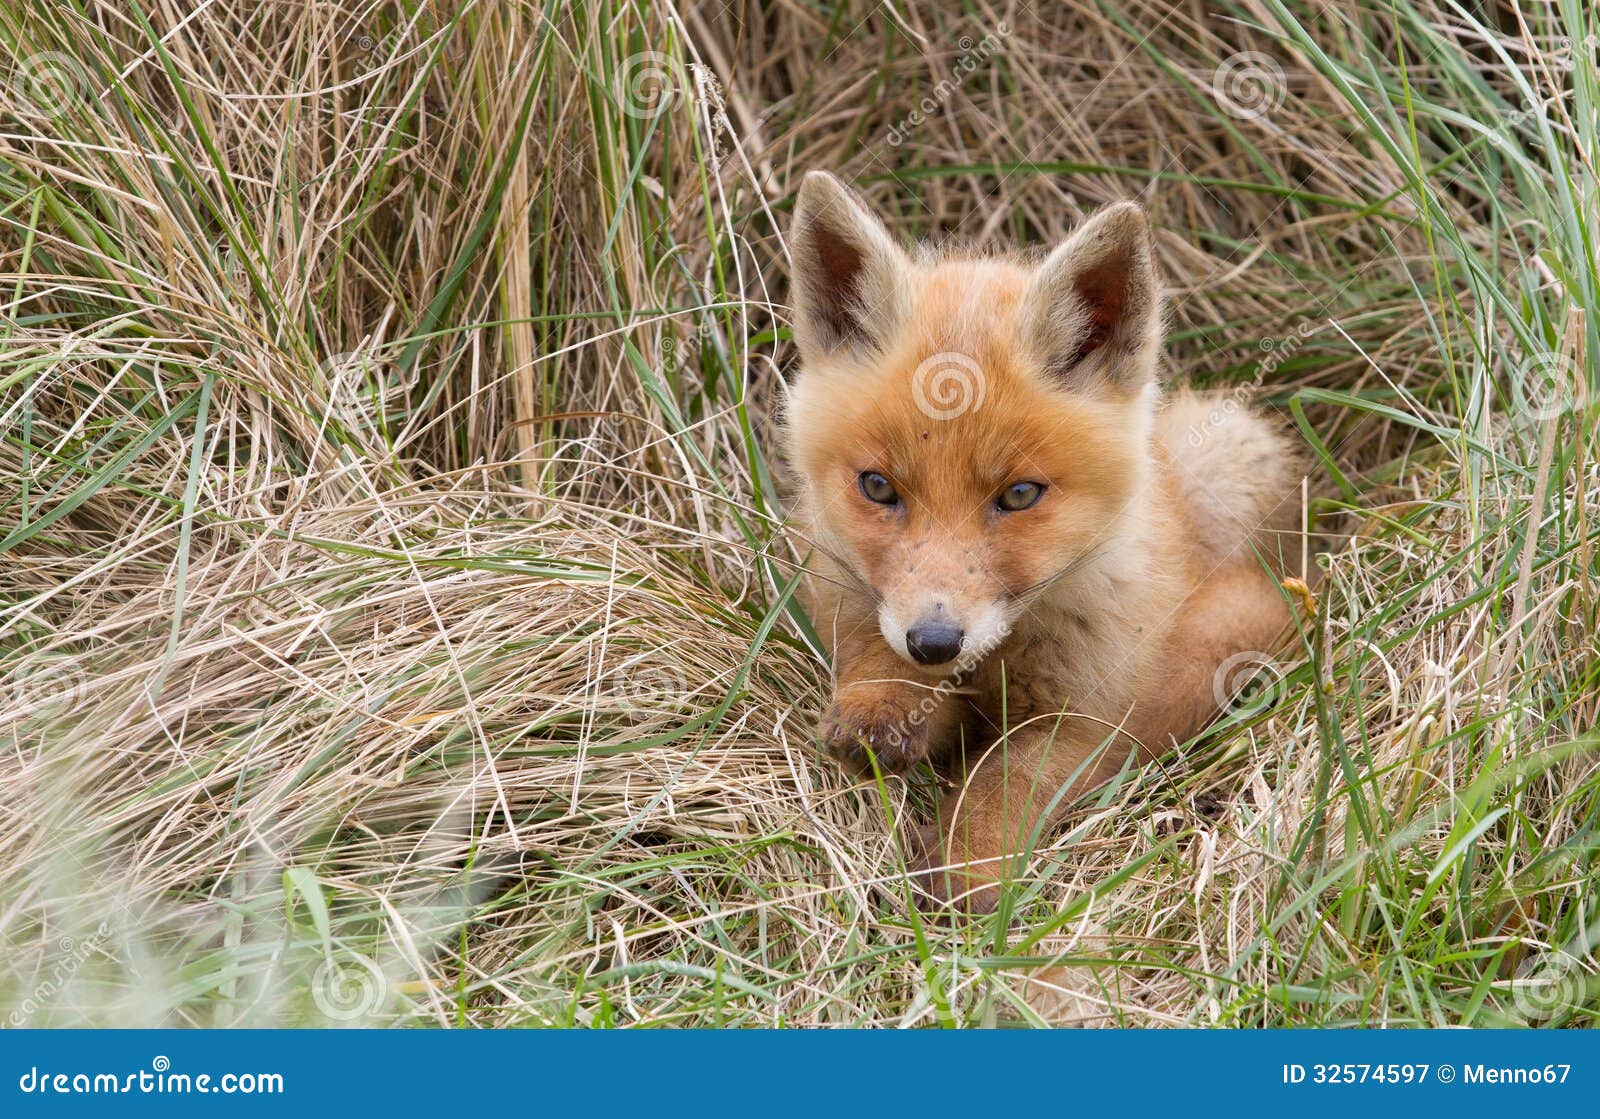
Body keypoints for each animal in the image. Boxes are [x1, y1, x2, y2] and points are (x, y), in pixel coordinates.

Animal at [783, 171, 1305, 911]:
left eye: (1020, 495)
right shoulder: (851, 604)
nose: (935, 641)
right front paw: (880, 708)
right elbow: (873, 662)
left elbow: (1004, 783)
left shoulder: (1090, 716)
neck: (1001, 657)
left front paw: (968, 878)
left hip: (1231, 450)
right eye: (878, 487)